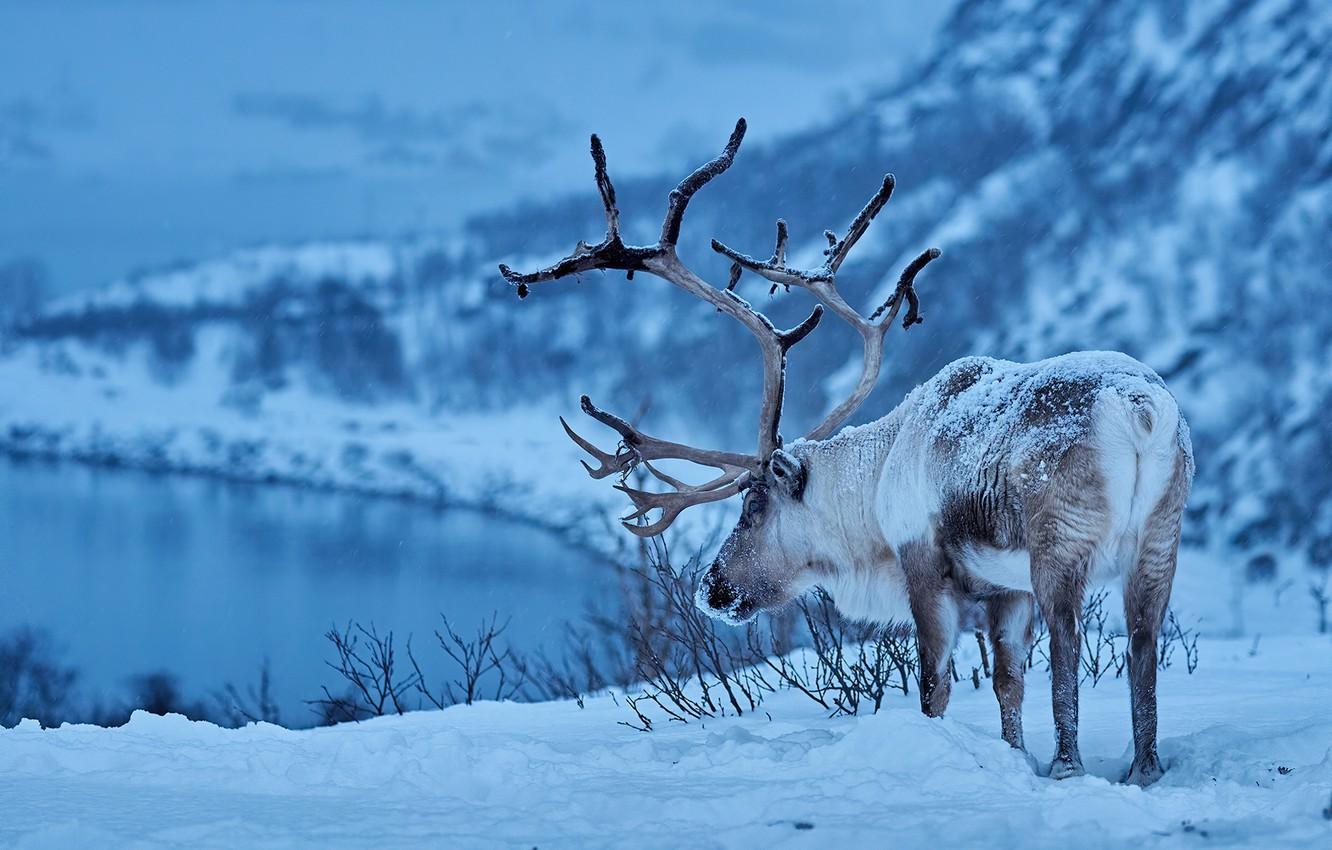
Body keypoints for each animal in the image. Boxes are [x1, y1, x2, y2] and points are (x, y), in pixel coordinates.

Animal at [499, 119, 1194, 787]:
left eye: (754, 508)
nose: (712, 588)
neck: (876, 485)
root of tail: (1141, 412)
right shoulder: (1006, 588)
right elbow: (1007, 685)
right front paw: (1012, 757)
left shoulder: (926, 566)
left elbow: (935, 687)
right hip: (1160, 541)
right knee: (1142, 646)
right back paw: (1143, 770)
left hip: (1061, 546)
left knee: (1072, 648)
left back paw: (1069, 767)